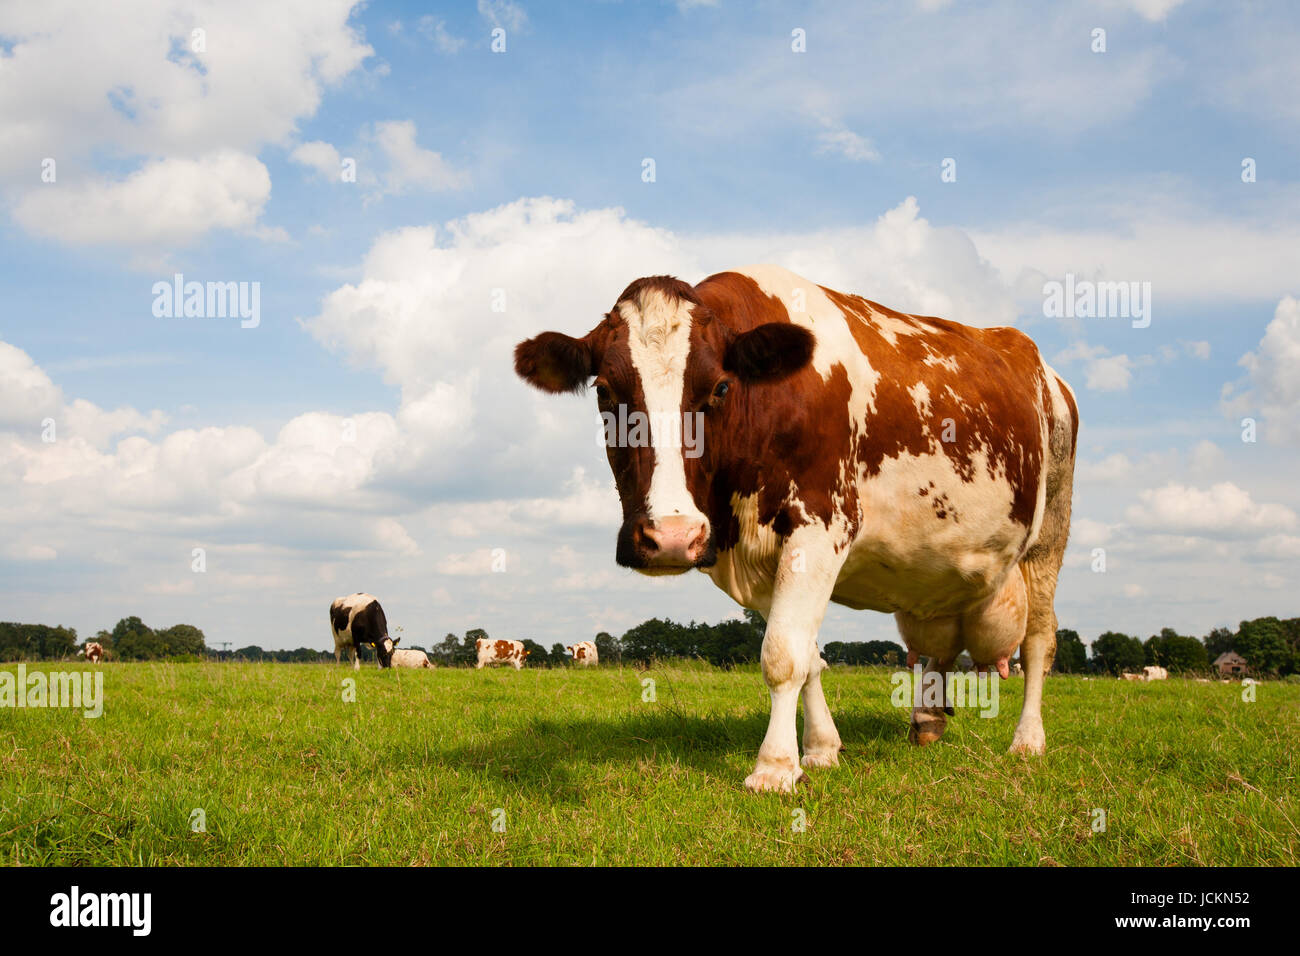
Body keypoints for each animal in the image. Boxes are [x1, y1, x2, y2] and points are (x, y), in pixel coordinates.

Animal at [515, 265, 1077, 792]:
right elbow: (808, 654)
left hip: (1050, 530)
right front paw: (823, 749)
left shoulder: (821, 526)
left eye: (720, 387)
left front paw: (775, 766)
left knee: (1038, 641)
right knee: (937, 642)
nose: (671, 538)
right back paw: (927, 719)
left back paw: (1027, 741)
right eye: (605, 391)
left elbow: (783, 654)